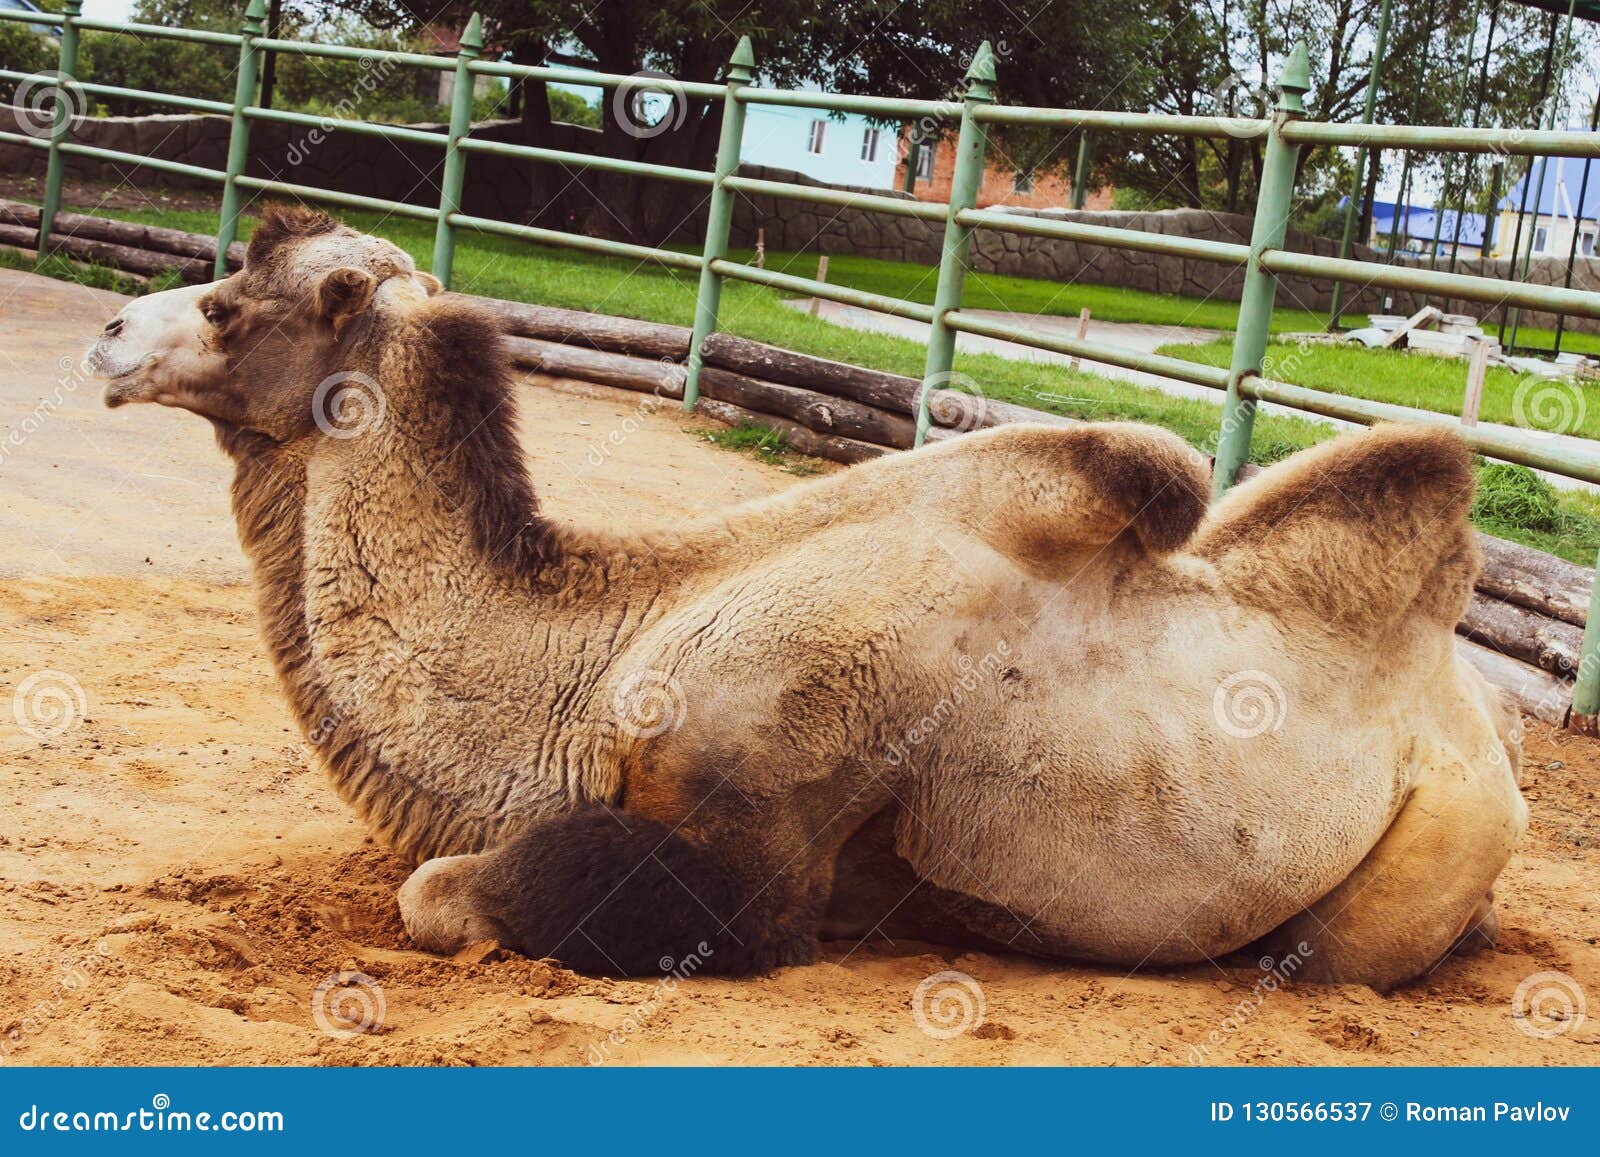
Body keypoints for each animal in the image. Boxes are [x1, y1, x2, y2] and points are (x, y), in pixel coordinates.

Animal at [90, 206, 1526, 990]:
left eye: (230, 306)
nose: (107, 332)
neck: (601, 661)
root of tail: (1477, 723)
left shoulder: (760, 842)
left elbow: (442, 893)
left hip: (1440, 841)